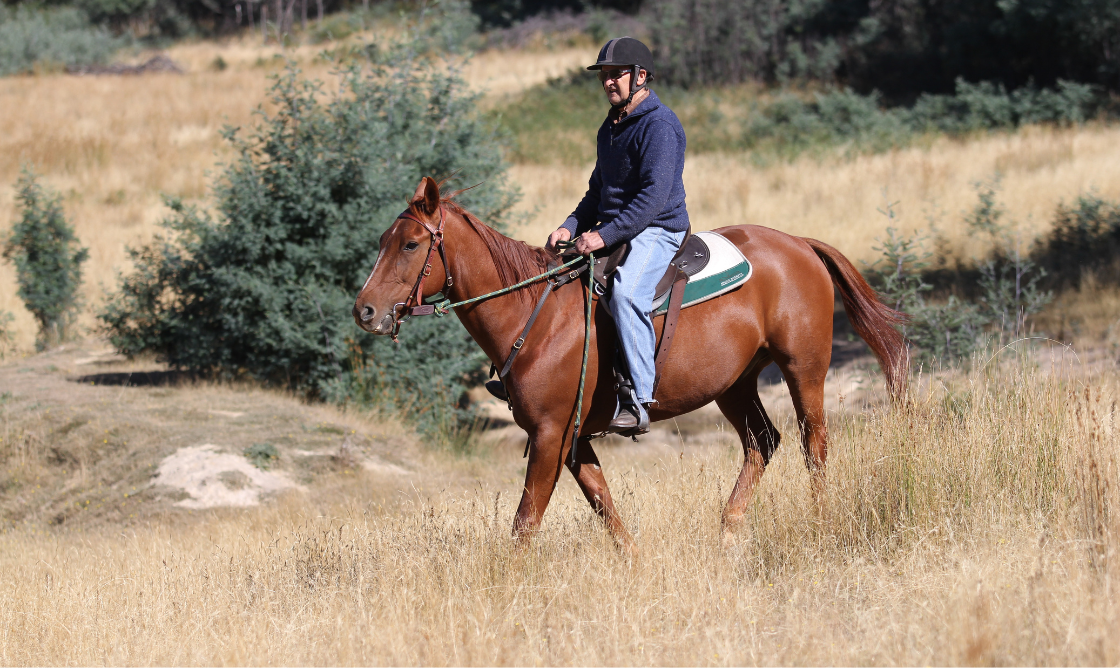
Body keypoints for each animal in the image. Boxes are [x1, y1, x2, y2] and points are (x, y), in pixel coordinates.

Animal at [354, 177, 907, 552]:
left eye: (410, 245)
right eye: (382, 241)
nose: (365, 312)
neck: (536, 314)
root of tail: (799, 244)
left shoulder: (550, 435)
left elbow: (525, 522)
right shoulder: (573, 439)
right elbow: (605, 509)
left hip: (803, 370)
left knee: (814, 445)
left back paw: (820, 519)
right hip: (734, 385)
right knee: (762, 442)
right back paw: (729, 528)